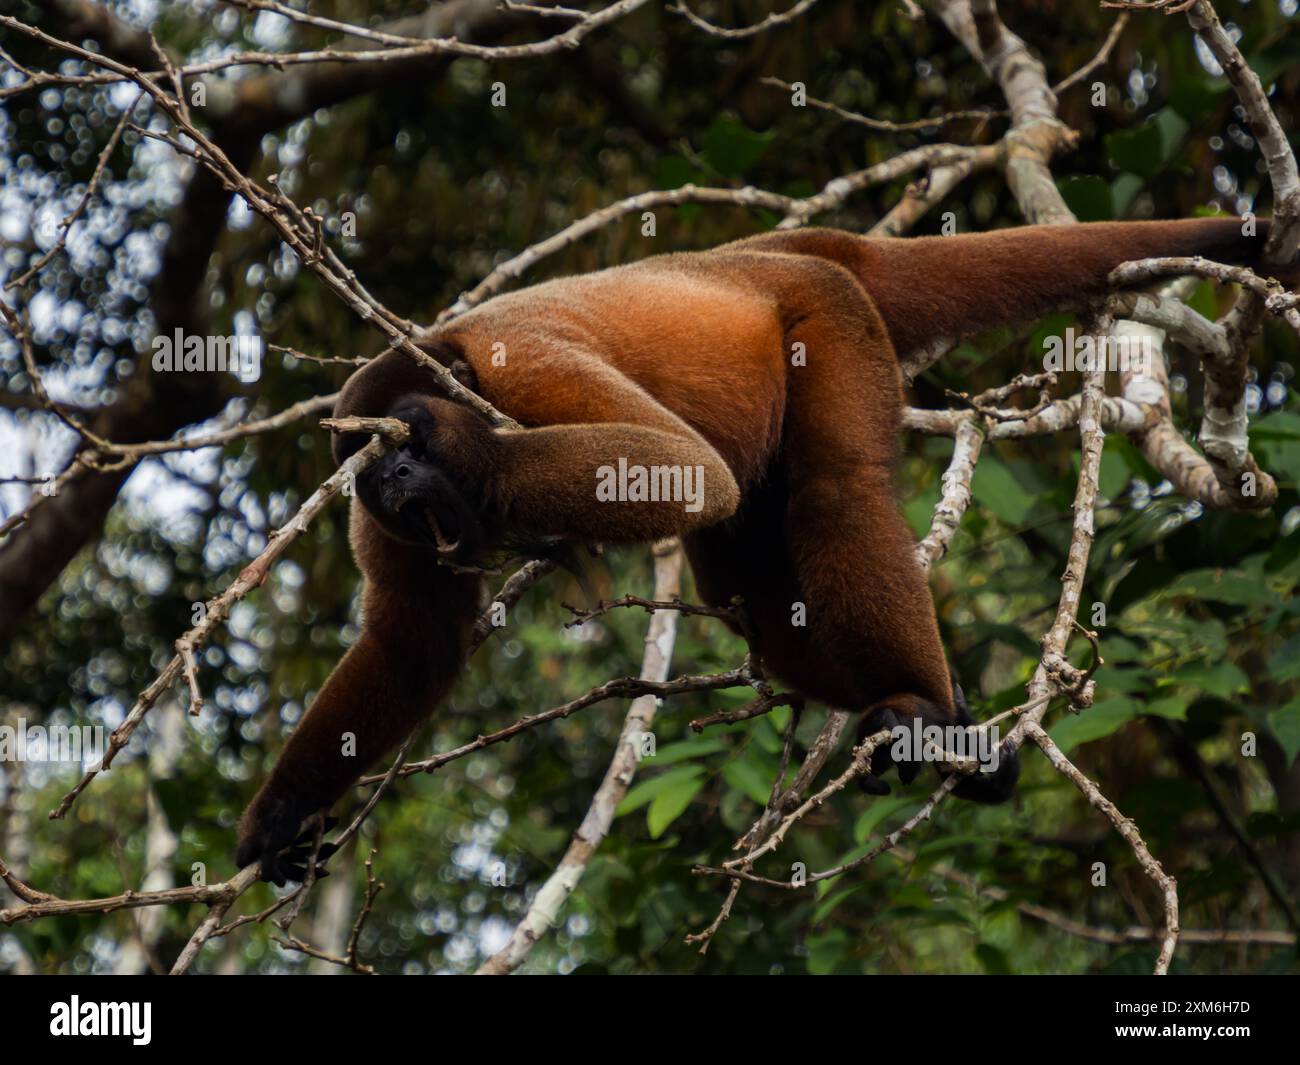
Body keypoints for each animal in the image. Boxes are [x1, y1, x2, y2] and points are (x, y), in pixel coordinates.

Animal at [237, 217, 1287, 885]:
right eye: (376, 479)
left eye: (400, 449)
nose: (392, 480)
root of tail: (775, 253)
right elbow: (414, 641)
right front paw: (281, 813)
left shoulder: (516, 365)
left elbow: (683, 473)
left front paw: (462, 448)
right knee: (746, 583)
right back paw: (938, 723)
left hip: (826, 316)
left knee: (834, 495)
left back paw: (925, 714)